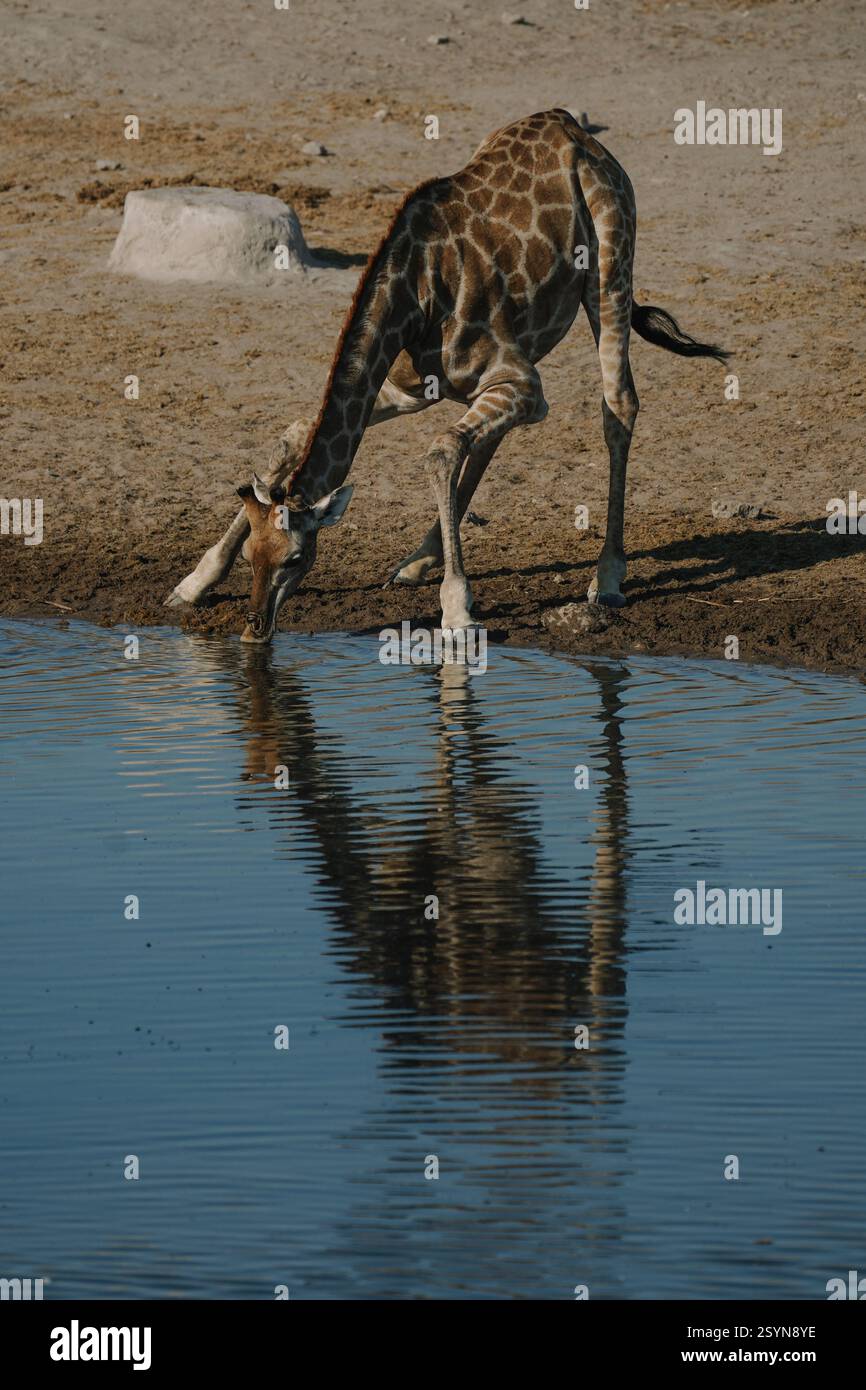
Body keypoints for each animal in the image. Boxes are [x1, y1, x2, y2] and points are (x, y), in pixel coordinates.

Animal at [165, 108, 727, 643]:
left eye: (297, 558)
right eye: (251, 557)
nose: (254, 628)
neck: (414, 297)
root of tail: (575, 132)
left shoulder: (520, 382)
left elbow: (439, 450)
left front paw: (457, 609)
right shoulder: (410, 388)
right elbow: (297, 435)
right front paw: (193, 582)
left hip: (609, 270)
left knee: (618, 405)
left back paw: (606, 578)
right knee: (494, 435)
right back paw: (417, 561)